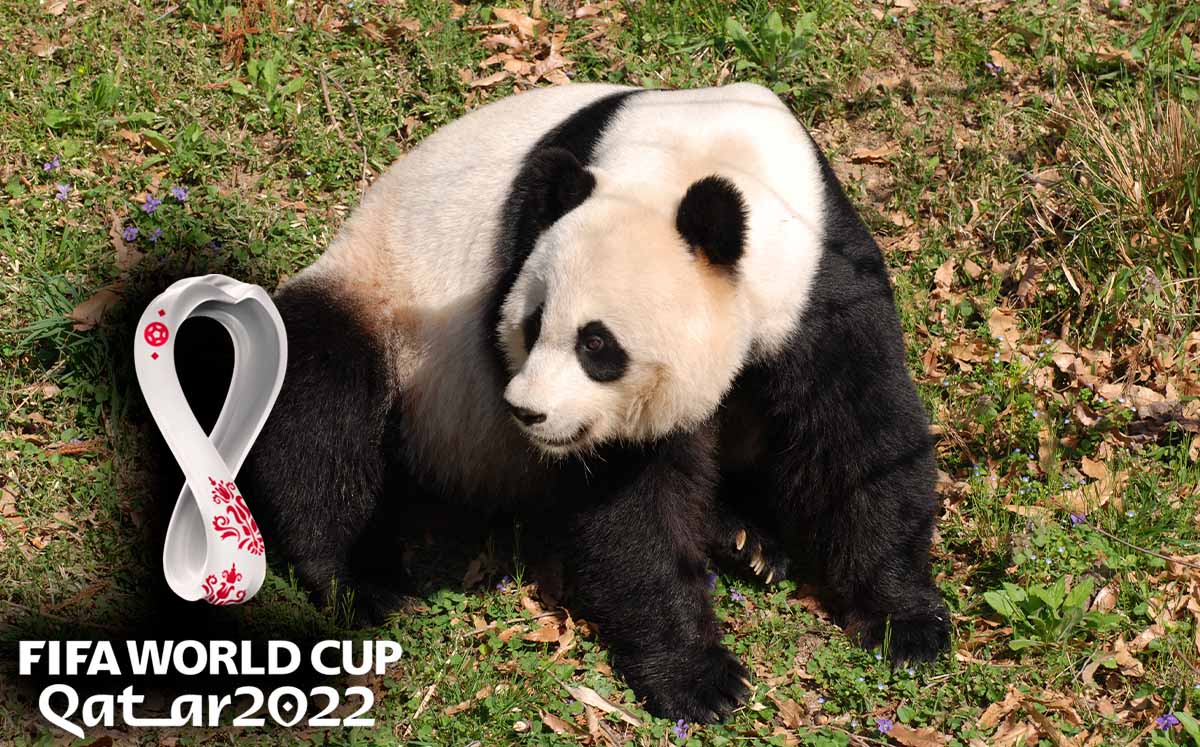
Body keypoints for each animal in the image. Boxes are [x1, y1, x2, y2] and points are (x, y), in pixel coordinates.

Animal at [241, 83, 950, 722]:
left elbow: (859, 437)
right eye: (529, 326)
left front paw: (908, 623)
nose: (526, 413)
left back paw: (747, 540)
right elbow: (630, 501)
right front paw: (702, 680)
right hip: (384, 308)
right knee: (318, 404)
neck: (699, 161)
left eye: (596, 344)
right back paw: (362, 583)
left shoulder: (824, 276)